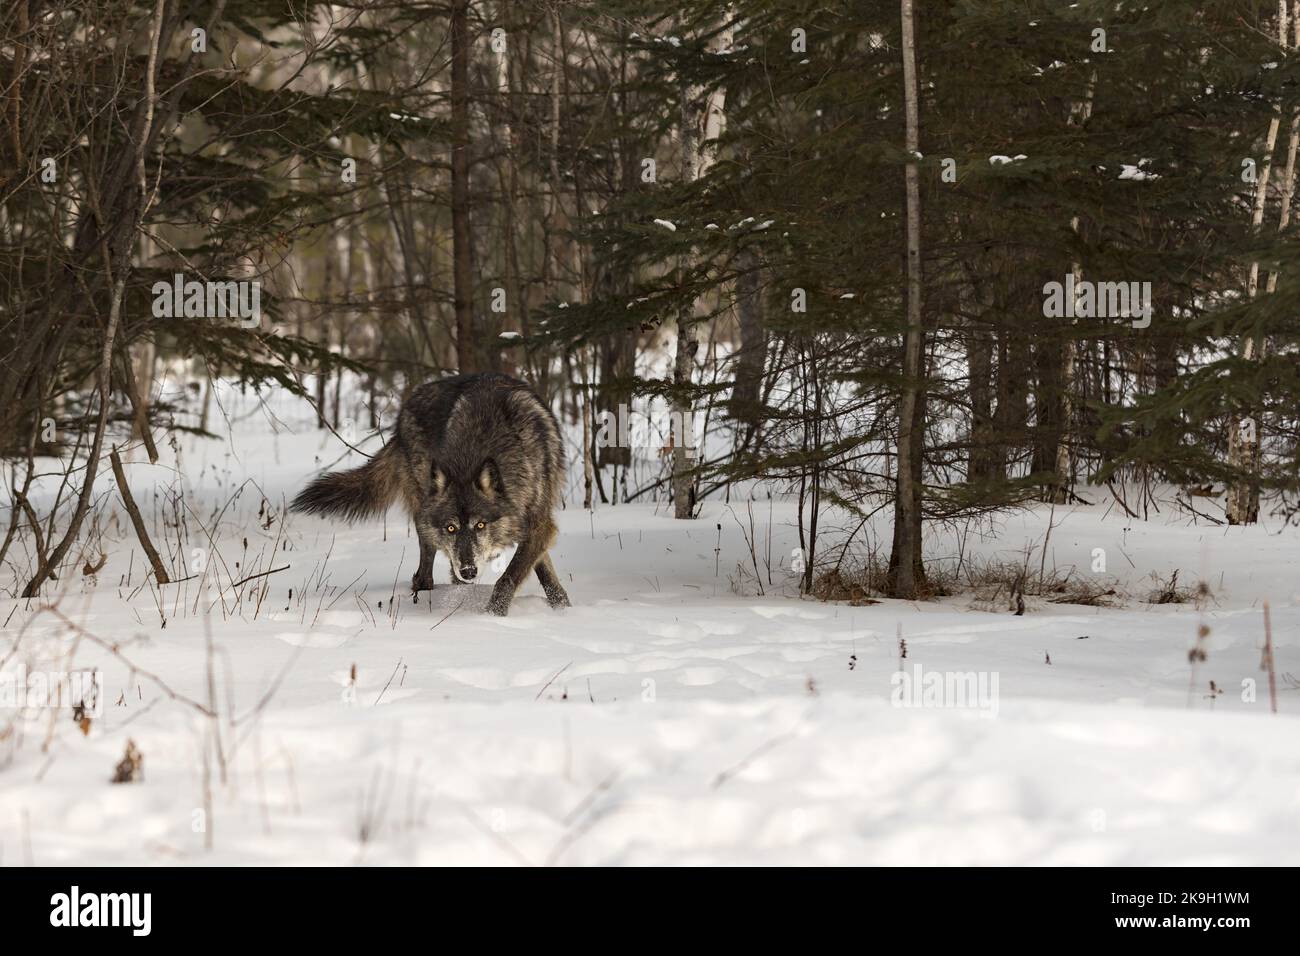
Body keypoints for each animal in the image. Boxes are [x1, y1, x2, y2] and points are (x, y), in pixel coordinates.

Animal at [291, 373, 570, 616]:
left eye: (480, 525)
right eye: (451, 528)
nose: (469, 571)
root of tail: (405, 409)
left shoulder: (539, 525)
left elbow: (519, 574)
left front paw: (562, 608)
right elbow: (511, 576)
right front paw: (492, 617)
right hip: (423, 510)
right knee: (427, 563)